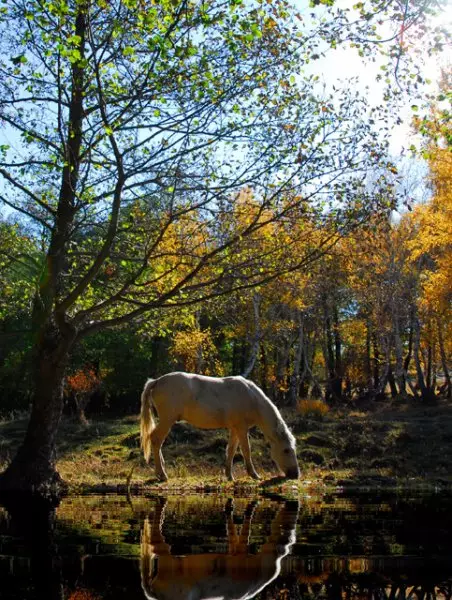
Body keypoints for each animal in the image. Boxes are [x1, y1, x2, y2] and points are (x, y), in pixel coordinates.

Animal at [139, 370, 298, 482]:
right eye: (286, 450)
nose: (296, 474)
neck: (251, 399)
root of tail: (157, 381)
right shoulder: (242, 428)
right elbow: (246, 450)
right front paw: (254, 475)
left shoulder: (235, 428)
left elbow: (231, 450)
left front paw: (229, 476)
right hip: (167, 419)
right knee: (156, 439)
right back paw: (162, 474)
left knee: (156, 441)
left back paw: (160, 472)